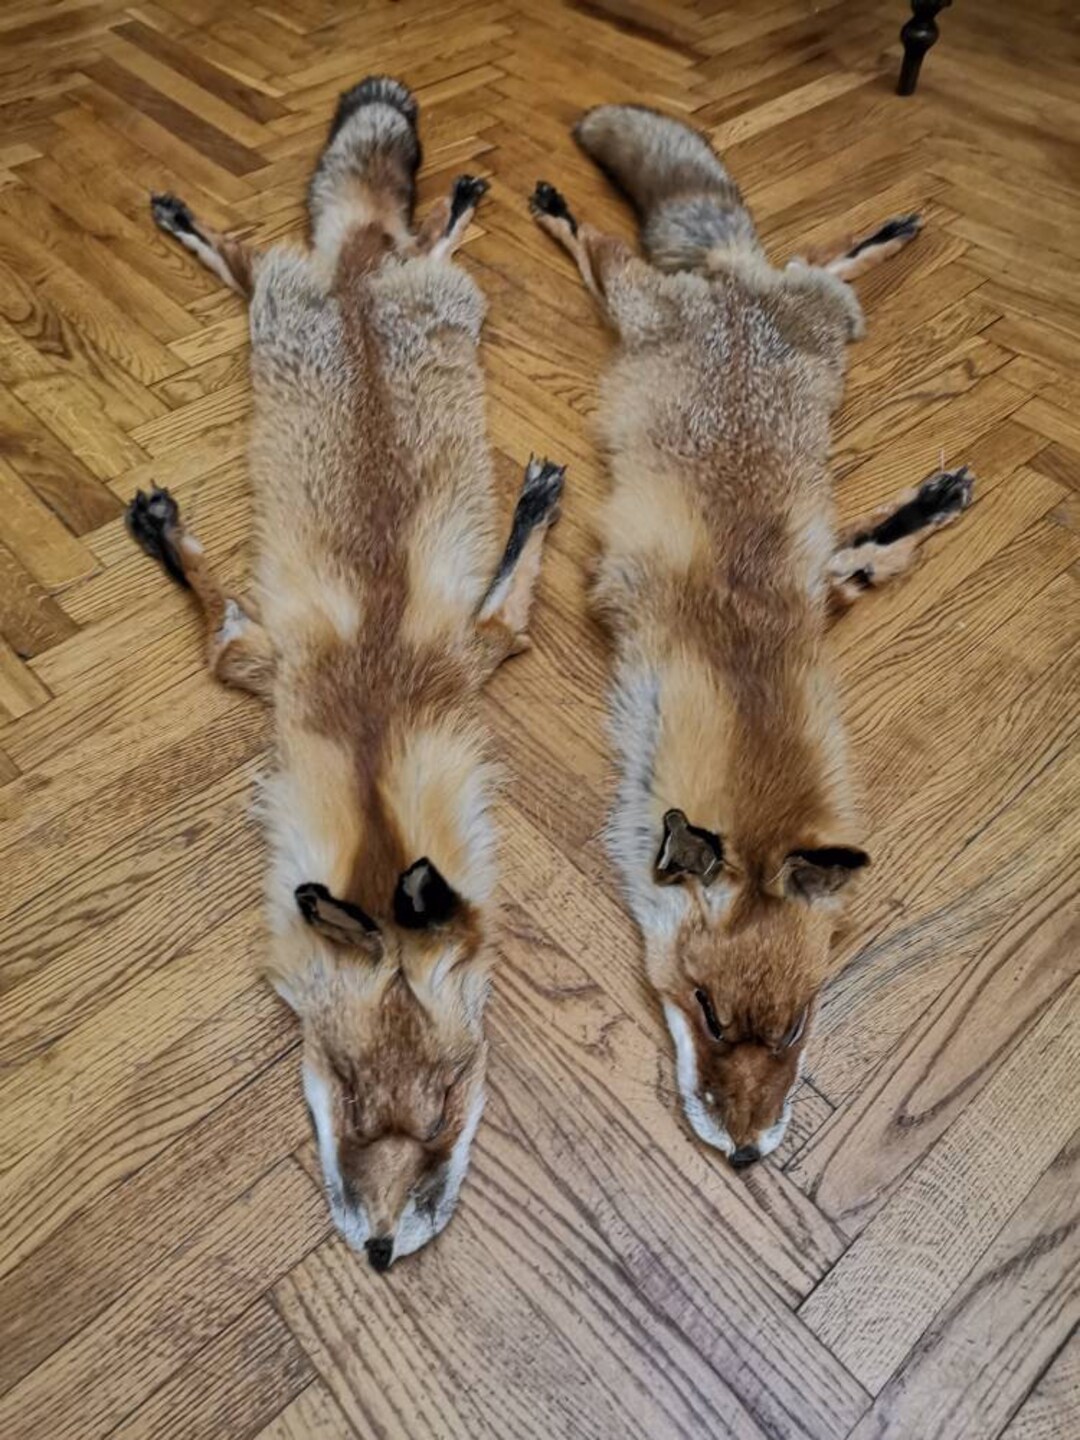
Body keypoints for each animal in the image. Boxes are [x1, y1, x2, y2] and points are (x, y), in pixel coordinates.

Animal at [127, 77, 564, 1267]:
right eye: (349, 1095)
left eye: (447, 1104)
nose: (376, 1251)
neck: (372, 726)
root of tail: (360, 276)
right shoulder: (261, 660)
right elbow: (212, 606)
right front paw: (166, 536)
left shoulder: (471, 650)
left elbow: (512, 593)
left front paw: (535, 507)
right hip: (282, 303)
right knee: (256, 255)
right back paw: (197, 225)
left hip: (398, 293)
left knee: (395, 241)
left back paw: (445, 209)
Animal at [531, 105, 973, 1169]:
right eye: (707, 1012)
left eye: (796, 1025)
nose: (743, 1153)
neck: (740, 663)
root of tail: (732, 288)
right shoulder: (625, 591)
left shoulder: (816, 590)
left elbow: (870, 556)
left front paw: (927, 508)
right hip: (636, 303)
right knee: (604, 249)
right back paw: (556, 204)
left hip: (820, 324)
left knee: (820, 260)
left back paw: (886, 233)